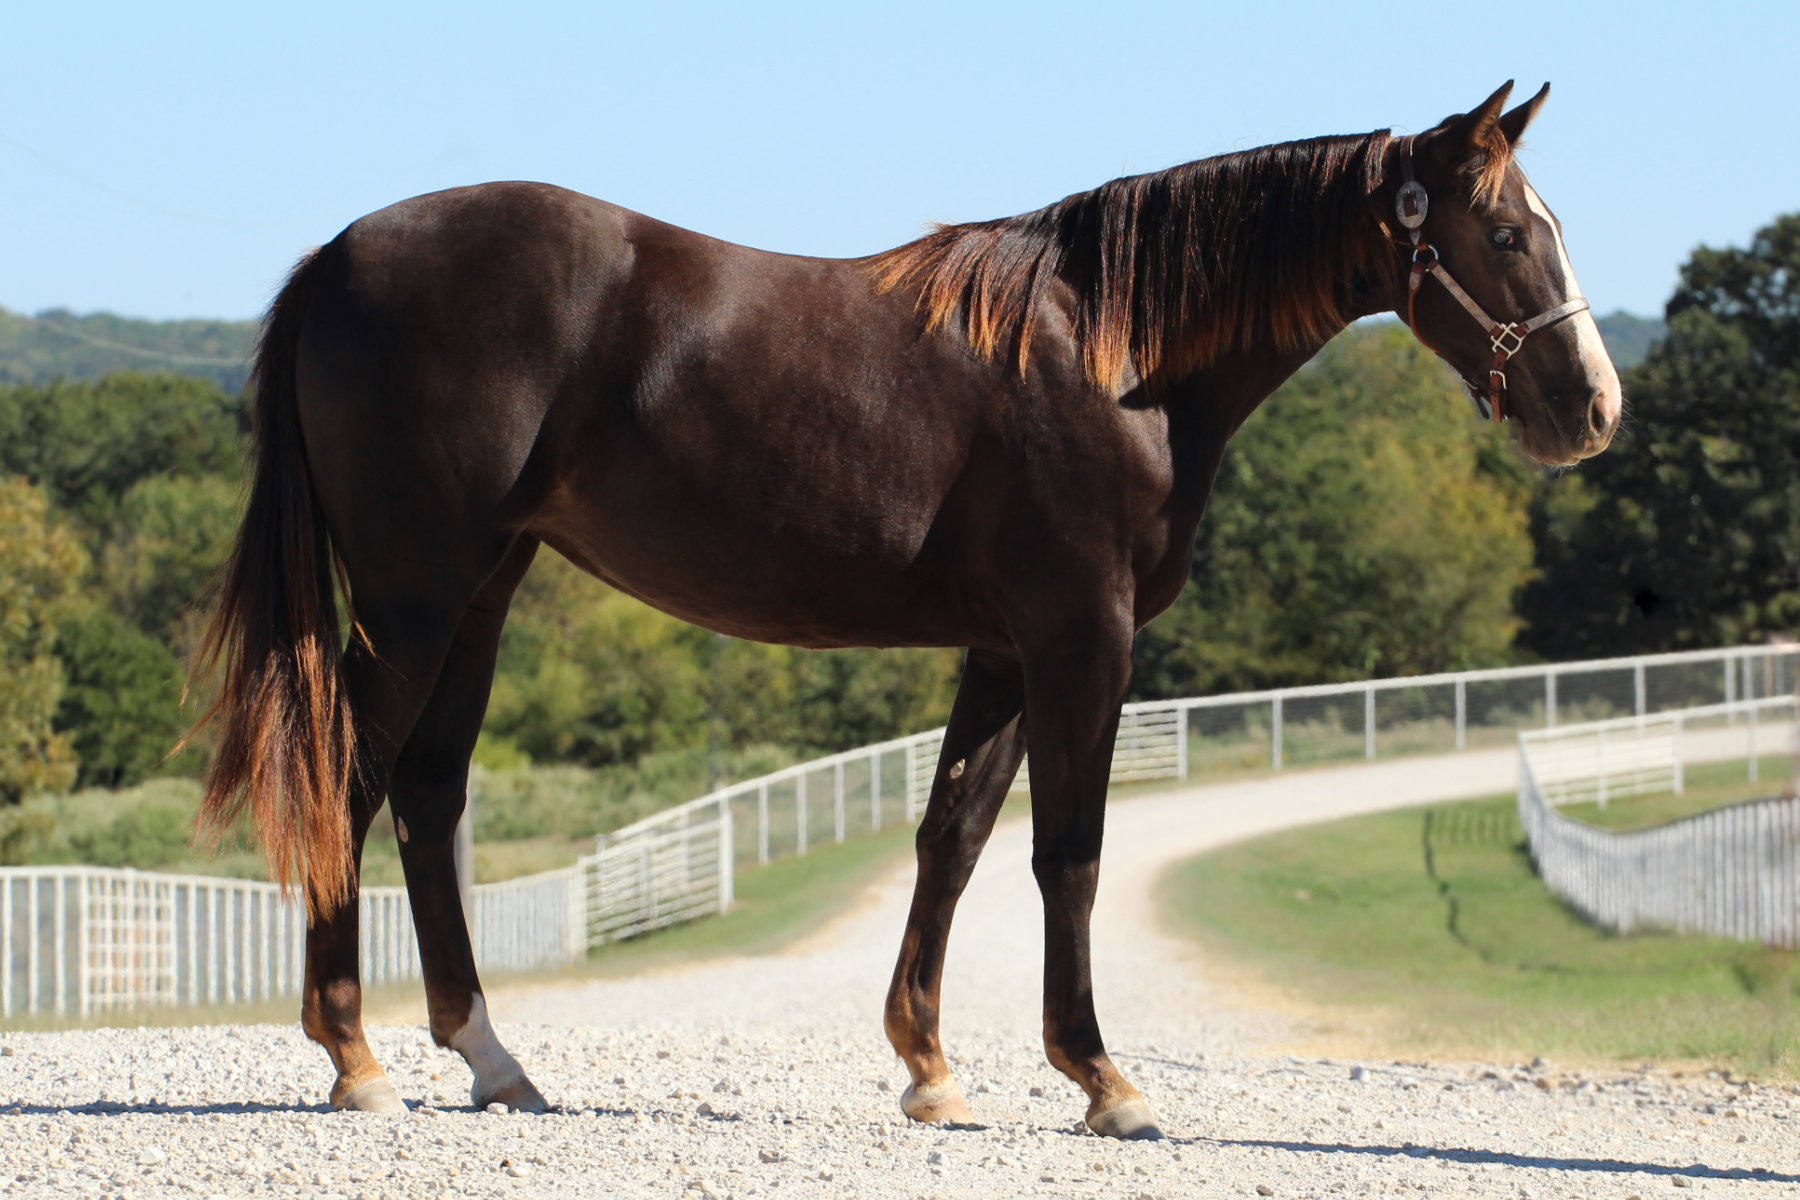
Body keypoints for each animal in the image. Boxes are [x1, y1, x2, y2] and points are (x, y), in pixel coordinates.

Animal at [189, 80, 1619, 1137]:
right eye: (1504, 234)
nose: (1593, 407)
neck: (1113, 356)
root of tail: (339, 255)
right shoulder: (1083, 638)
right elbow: (1068, 851)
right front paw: (1104, 1081)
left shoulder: (1002, 647)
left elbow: (954, 837)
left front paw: (931, 1070)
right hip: (418, 595)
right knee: (352, 780)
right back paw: (356, 1060)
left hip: (484, 589)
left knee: (429, 796)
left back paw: (494, 1062)